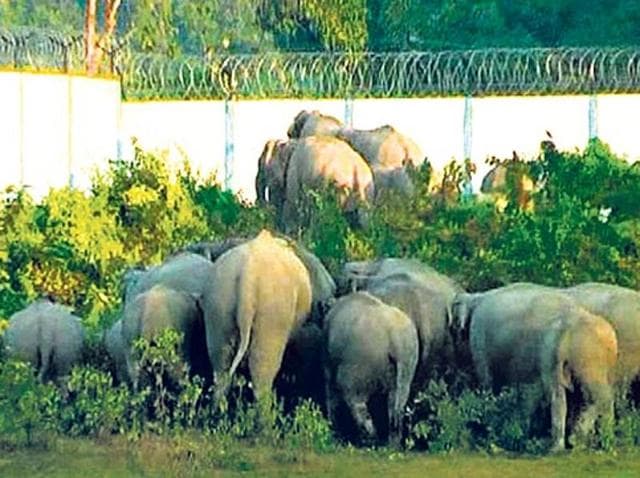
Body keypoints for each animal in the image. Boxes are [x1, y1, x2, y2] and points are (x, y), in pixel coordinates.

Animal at [324, 292, 418, 446]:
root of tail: (396, 341)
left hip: (360, 362)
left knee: (355, 399)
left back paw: (368, 440)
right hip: (407, 364)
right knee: (396, 404)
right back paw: (391, 444)